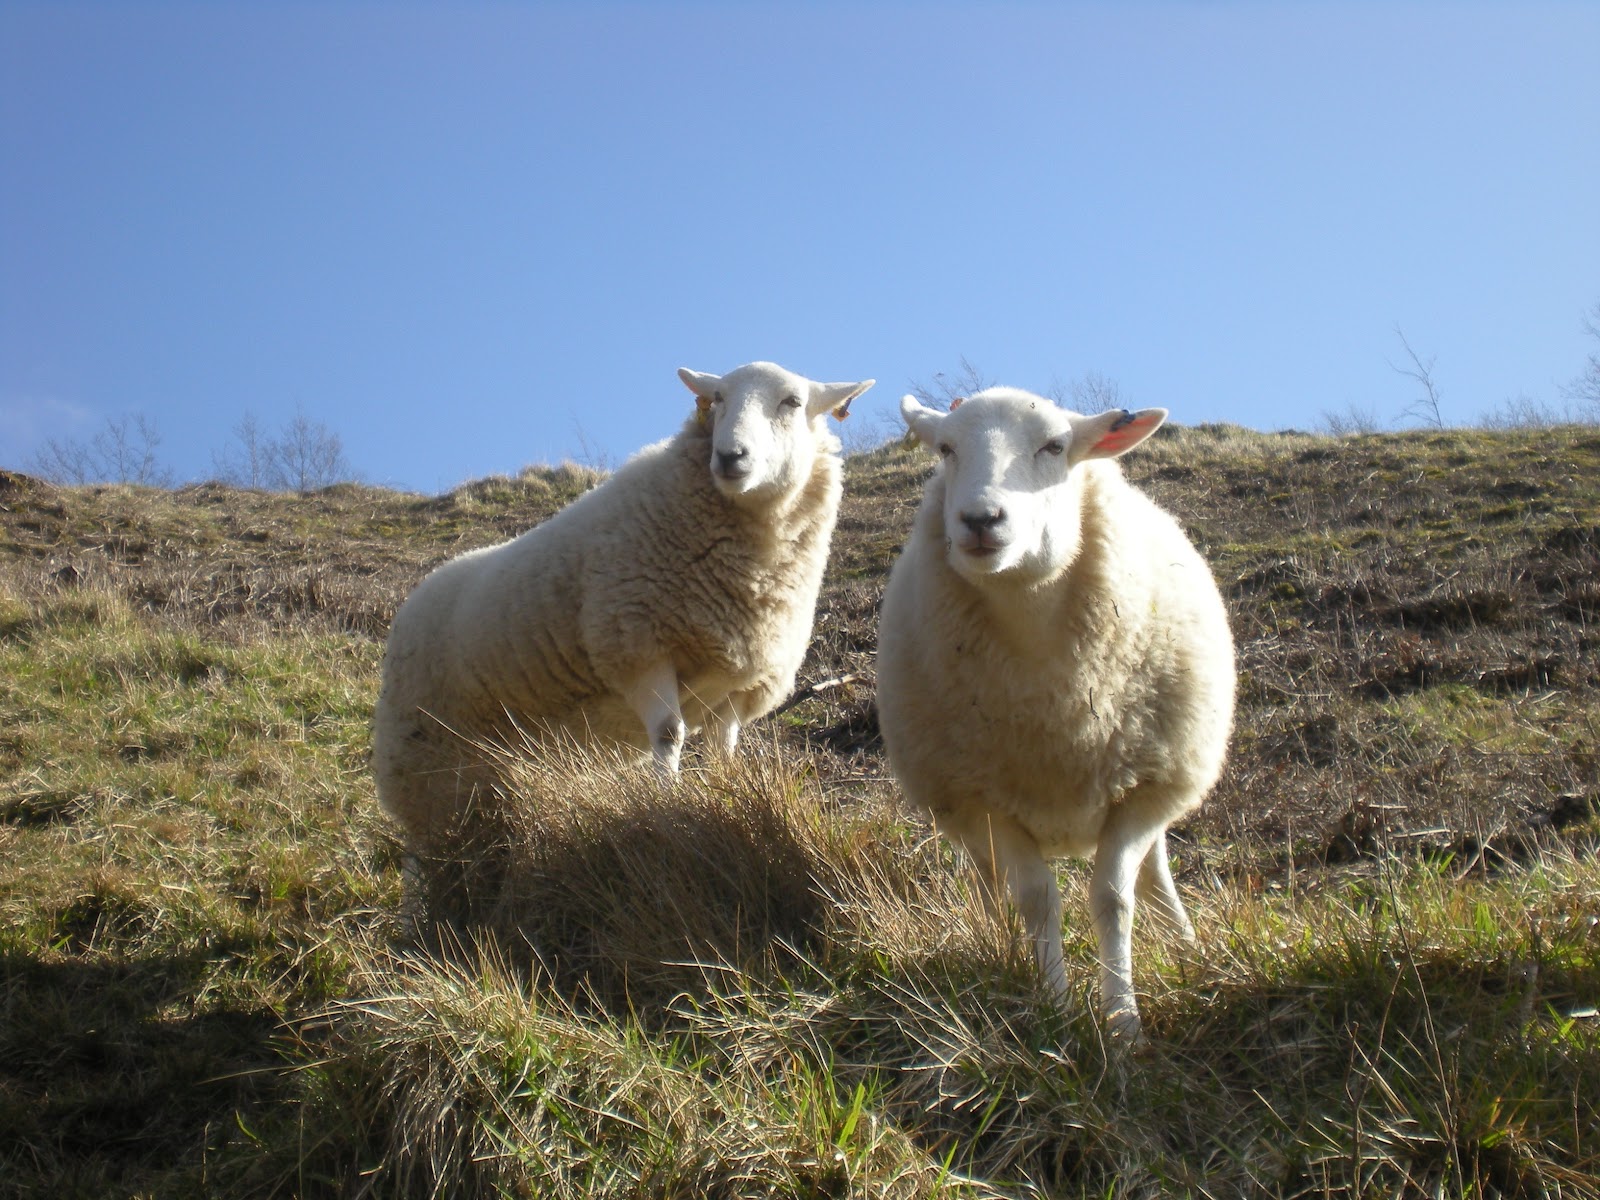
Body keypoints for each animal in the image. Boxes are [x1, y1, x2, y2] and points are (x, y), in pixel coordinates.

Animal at [373, 361, 874, 878]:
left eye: (792, 402)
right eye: (716, 399)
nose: (729, 456)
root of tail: (416, 595)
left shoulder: (740, 685)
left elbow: (723, 752)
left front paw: (728, 798)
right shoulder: (638, 645)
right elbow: (670, 734)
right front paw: (668, 808)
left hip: (488, 768)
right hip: (418, 758)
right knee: (416, 855)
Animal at [875, 387, 1235, 1049]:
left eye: (1054, 446)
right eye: (946, 449)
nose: (981, 520)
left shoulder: (1142, 788)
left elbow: (1114, 899)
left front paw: (1123, 1027)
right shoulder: (984, 801)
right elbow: (1037, 900)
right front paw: (1056, 1013)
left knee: (1153, 874)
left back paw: (1187, 949)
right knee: (991, 883)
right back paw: (998, 946)